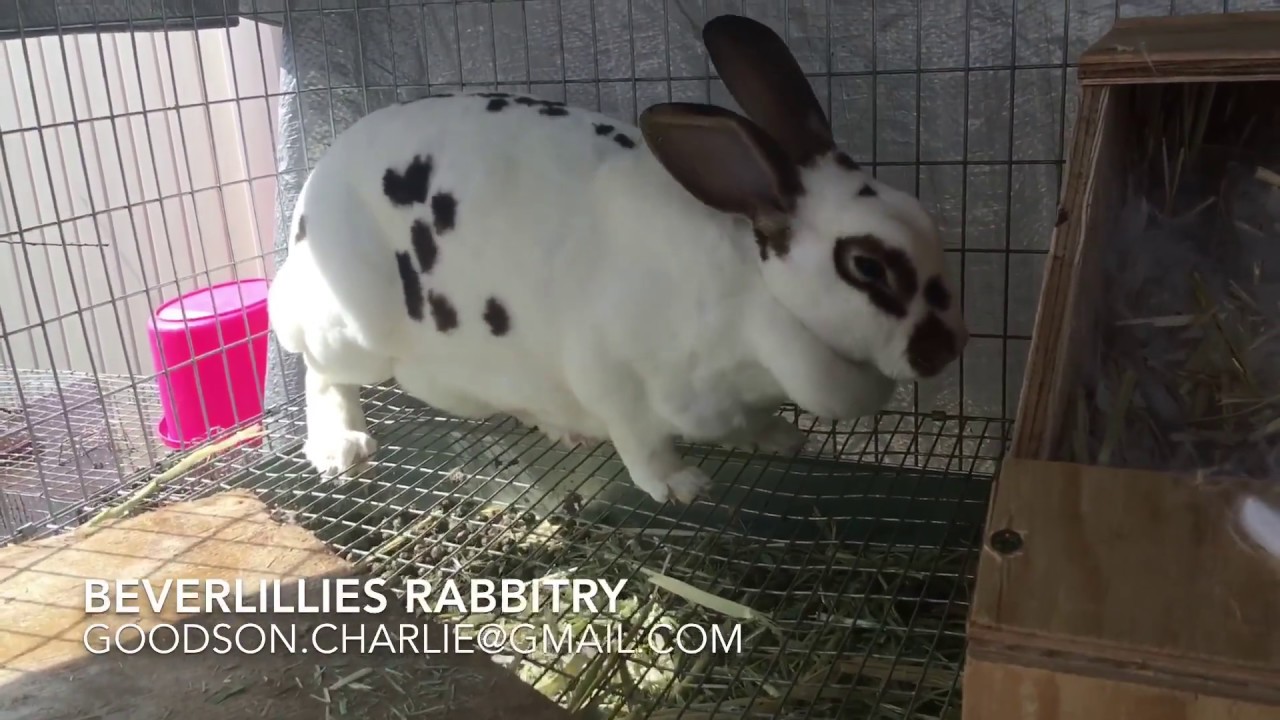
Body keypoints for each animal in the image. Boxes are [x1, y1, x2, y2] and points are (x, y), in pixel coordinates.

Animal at [267, 13, 969, 505]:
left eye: (926, 221)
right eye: (866, 267)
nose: (946, 351)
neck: (755, 296)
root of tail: (311, 196)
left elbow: (750, 424)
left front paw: (784, 439)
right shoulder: (613, 375)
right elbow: (642, 443)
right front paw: (682, 486)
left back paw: (559, 429)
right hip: (347, 331)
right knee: (321, 373)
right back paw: (339, 448)